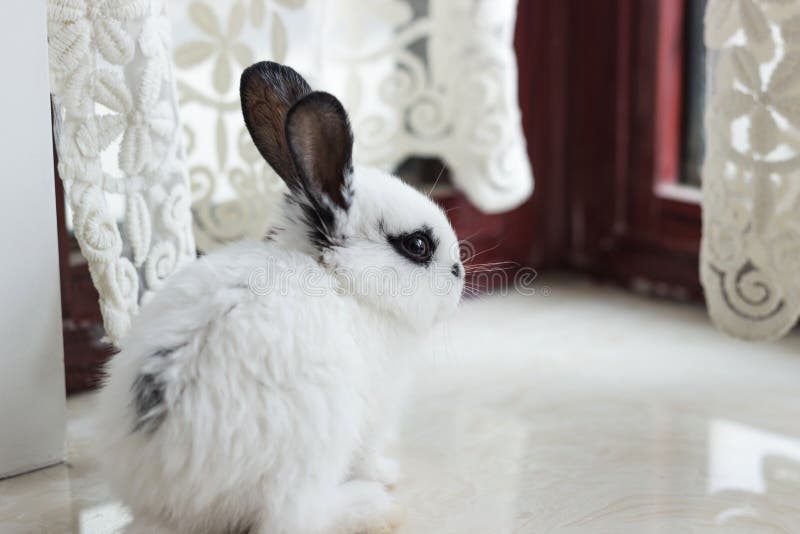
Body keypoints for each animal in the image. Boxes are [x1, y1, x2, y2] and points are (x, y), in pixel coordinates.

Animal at [95, 61, 464, 534]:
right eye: (417, 245)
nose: (460, 274)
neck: (342, 282)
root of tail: (169, 504)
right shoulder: (373, 414)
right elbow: (367, 456)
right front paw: (386, 474)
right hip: (316, 439)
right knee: (295, 518)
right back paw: (371, 505)